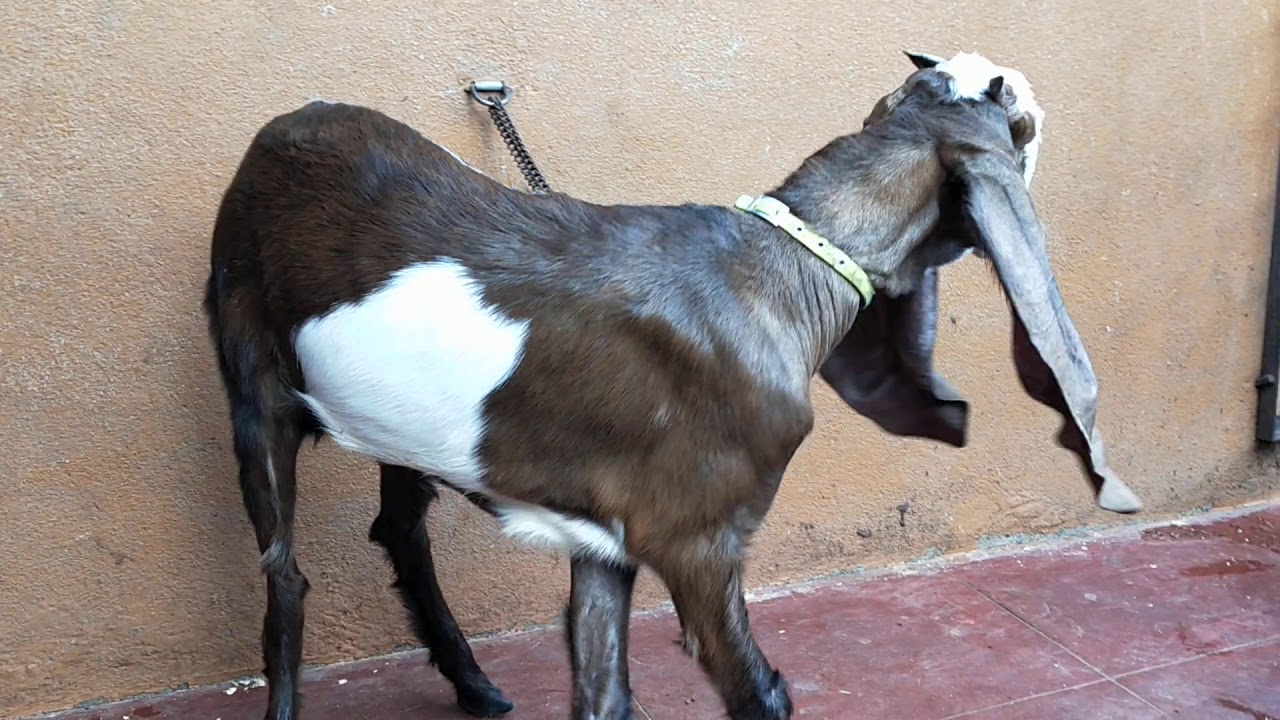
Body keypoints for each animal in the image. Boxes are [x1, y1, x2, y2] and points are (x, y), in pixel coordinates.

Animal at [203, 50, 1141, 720]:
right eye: (1017, 119)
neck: (777, 275)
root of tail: (282, 124)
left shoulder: (605, 545)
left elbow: (603, 693)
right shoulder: (699, 542)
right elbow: (759, 691)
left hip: (400, 428)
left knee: (398, 530)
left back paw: (473, 686)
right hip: (253, 386)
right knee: (285, 576)